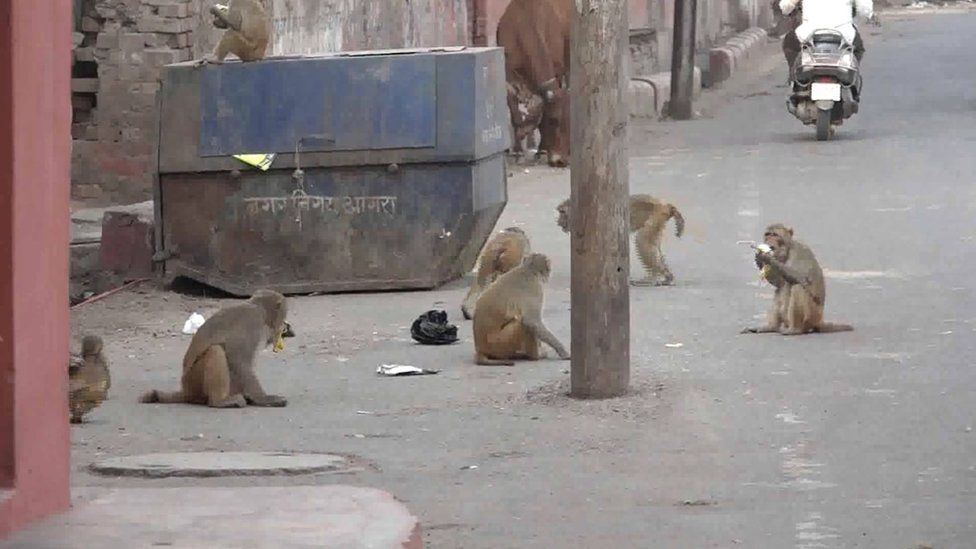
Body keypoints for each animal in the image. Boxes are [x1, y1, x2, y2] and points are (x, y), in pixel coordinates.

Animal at [140, 289, 289, 408]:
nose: (284, 326)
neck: (259, 309)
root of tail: (186, 390)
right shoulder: (253, 323)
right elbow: (238, 361)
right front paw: (263, 399)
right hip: (194, 381)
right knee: (216, 350)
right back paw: (219, 401)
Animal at [556, 194, 685, 286]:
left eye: (562, 212)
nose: (558, 222)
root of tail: (667, 205)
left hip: (657, 214)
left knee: (641, 241)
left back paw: (652, 278)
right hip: (659, 218)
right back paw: (667, 277)